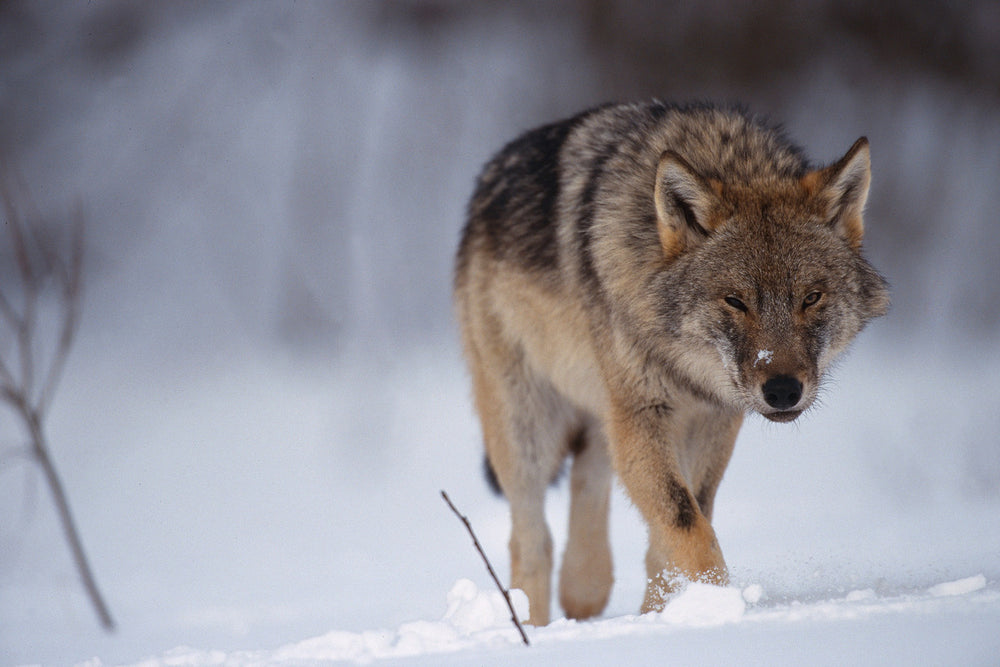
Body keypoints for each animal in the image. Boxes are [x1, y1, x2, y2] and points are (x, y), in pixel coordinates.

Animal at [454, 101, 889, 625]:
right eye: (735, 301)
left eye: (811, 298)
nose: (783, 390)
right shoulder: (644, 413)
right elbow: (687, 524)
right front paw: (714, 609)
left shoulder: (711, 419)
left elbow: (682, 526)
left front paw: (667, 614)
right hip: (529, 427)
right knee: (530, 538)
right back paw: (534, 625)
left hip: (602, 414)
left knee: (590, 481)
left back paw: (586, 589)